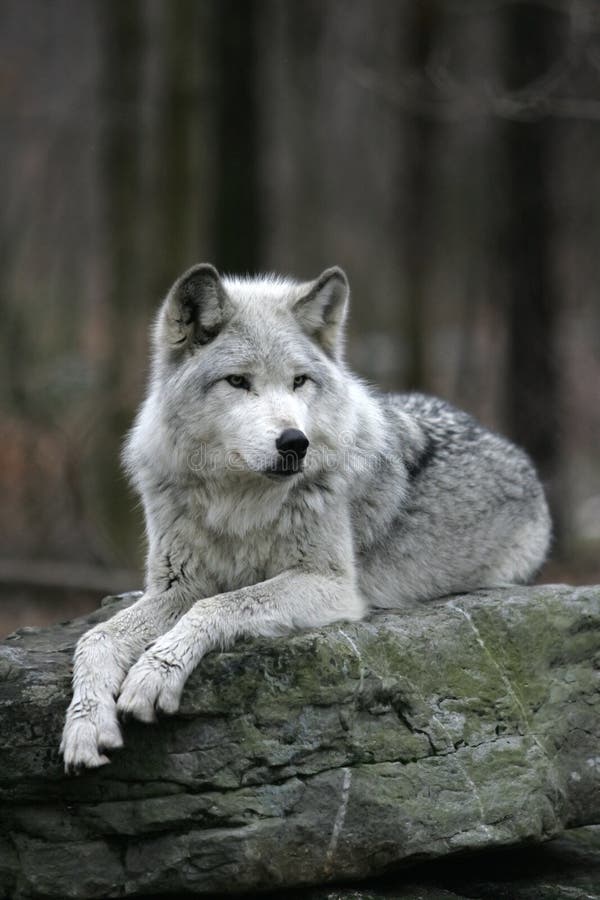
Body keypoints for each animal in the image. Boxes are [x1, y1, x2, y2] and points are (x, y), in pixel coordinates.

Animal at [61, 264, 551, 771]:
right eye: (238, 381)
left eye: (299, 381)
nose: (295, 443)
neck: (239, 503)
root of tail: (505, 442)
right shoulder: (178, 585)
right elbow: (96, 637)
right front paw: (85, 725)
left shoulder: (330, 584)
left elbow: (219, 605)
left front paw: (153, 674)